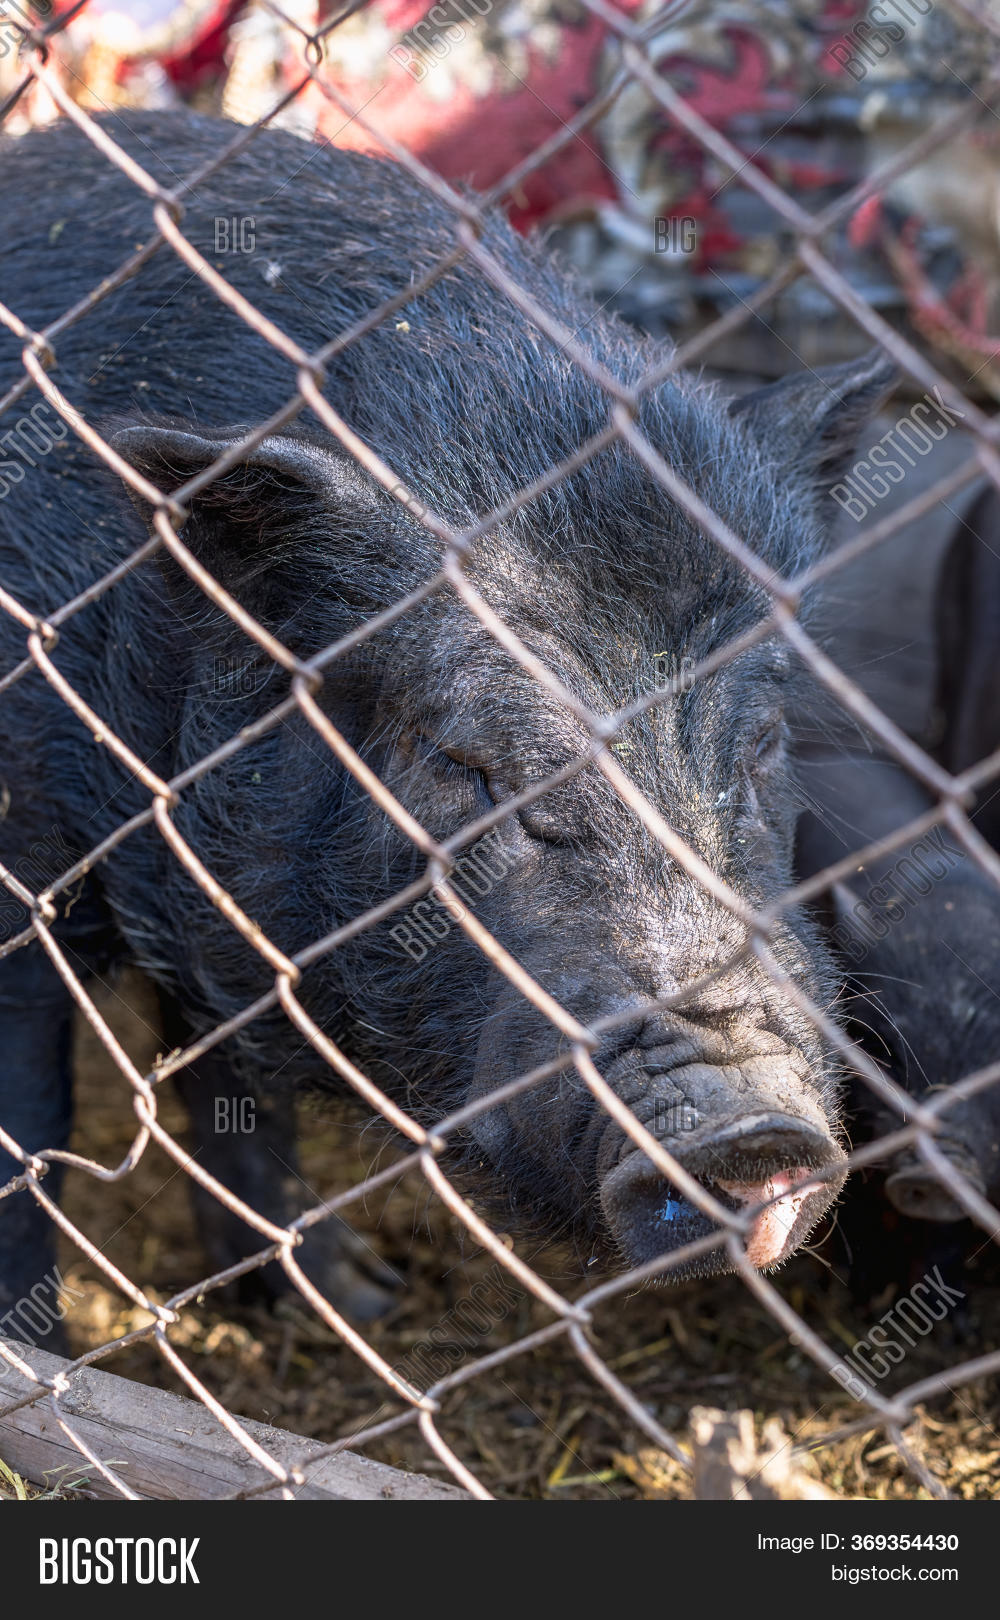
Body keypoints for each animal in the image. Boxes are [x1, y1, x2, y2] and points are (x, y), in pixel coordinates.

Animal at [0, 110, 898, 1338]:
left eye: (760, 745)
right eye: (470, 763)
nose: (757, 1129)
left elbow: (233, 1088)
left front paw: (352, 1304)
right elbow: (31, 1125)